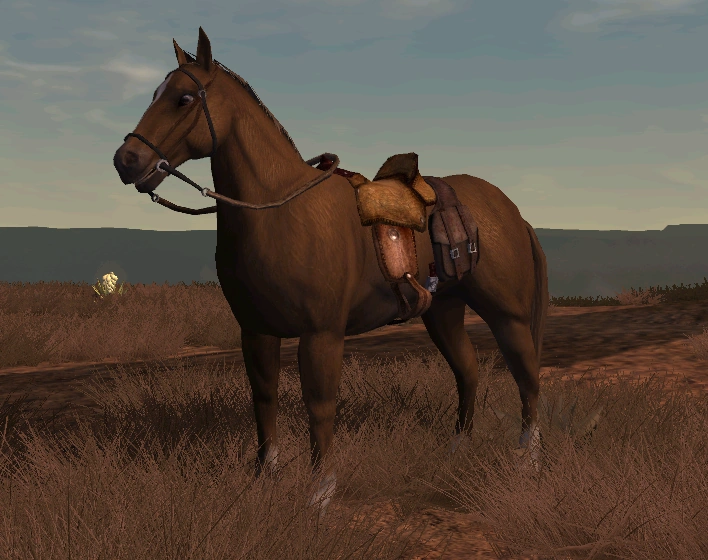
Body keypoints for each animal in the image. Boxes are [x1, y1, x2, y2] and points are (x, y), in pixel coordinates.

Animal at [113, 27, 549, 509]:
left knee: (527, 376)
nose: (126, 160)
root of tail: (511, 212)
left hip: (506, 315)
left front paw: (320, 492)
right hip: (444, 311)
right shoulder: (256, 331)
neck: (279, 210)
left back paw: (527, 461)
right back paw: (457, 452)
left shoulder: (321, 334)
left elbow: (319, 405)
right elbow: (264, 399)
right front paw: (265, 479)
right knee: (468, 373)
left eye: (184, 98)